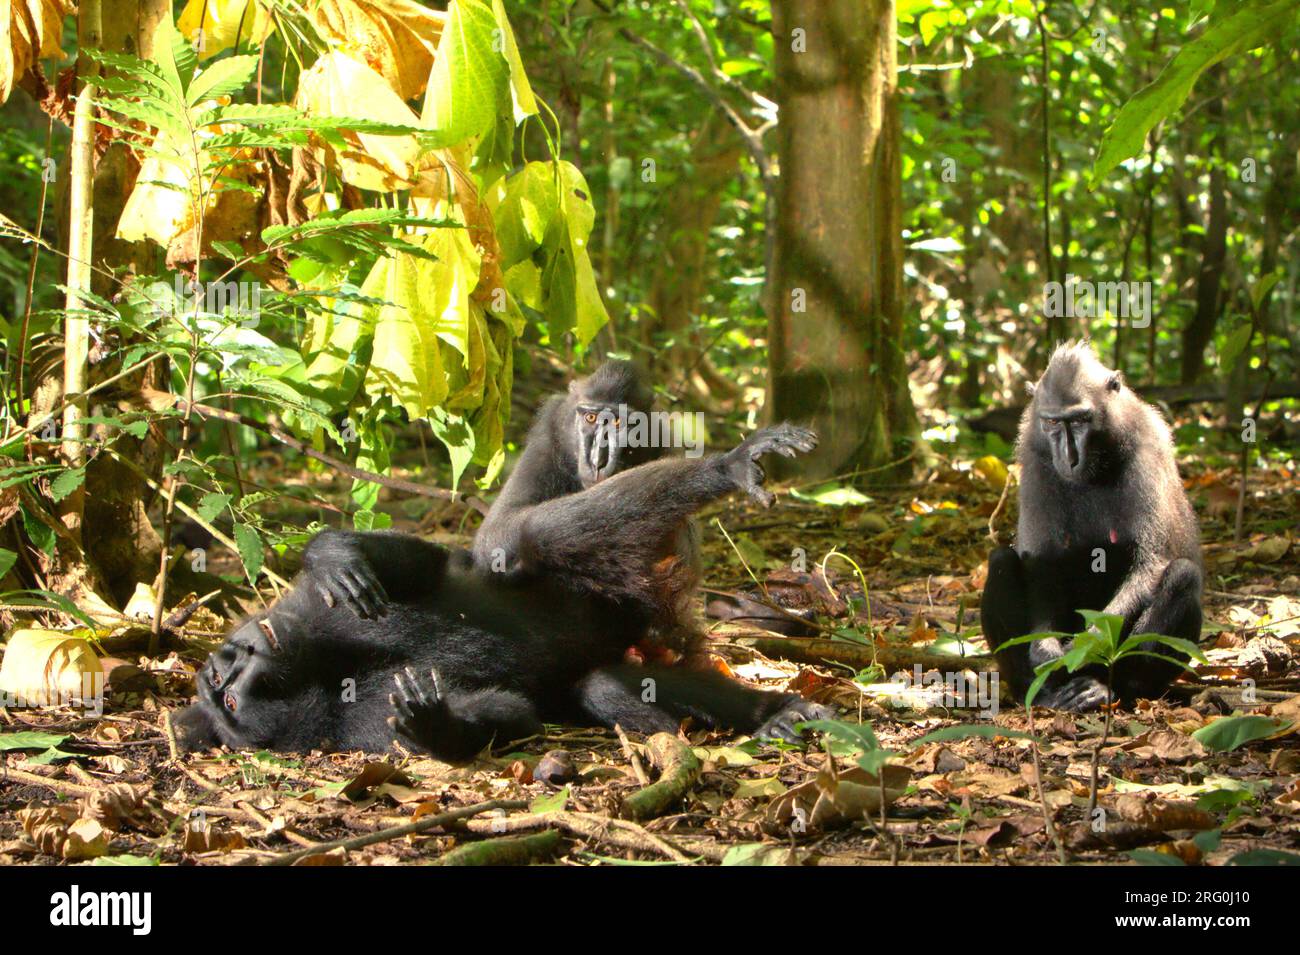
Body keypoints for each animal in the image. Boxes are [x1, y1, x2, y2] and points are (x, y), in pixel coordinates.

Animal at [980, 342, 1203, 711]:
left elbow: (1150, 564)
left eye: (1081, 420)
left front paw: (1087, 643)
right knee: (1000, 561)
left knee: (1183, 575)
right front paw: (1045, 650)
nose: (1069, 458)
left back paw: (1111, 689)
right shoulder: (1035, 461)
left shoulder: (1146, 452)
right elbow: (1040, 564)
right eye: (1052, 422)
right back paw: (1039, 691)